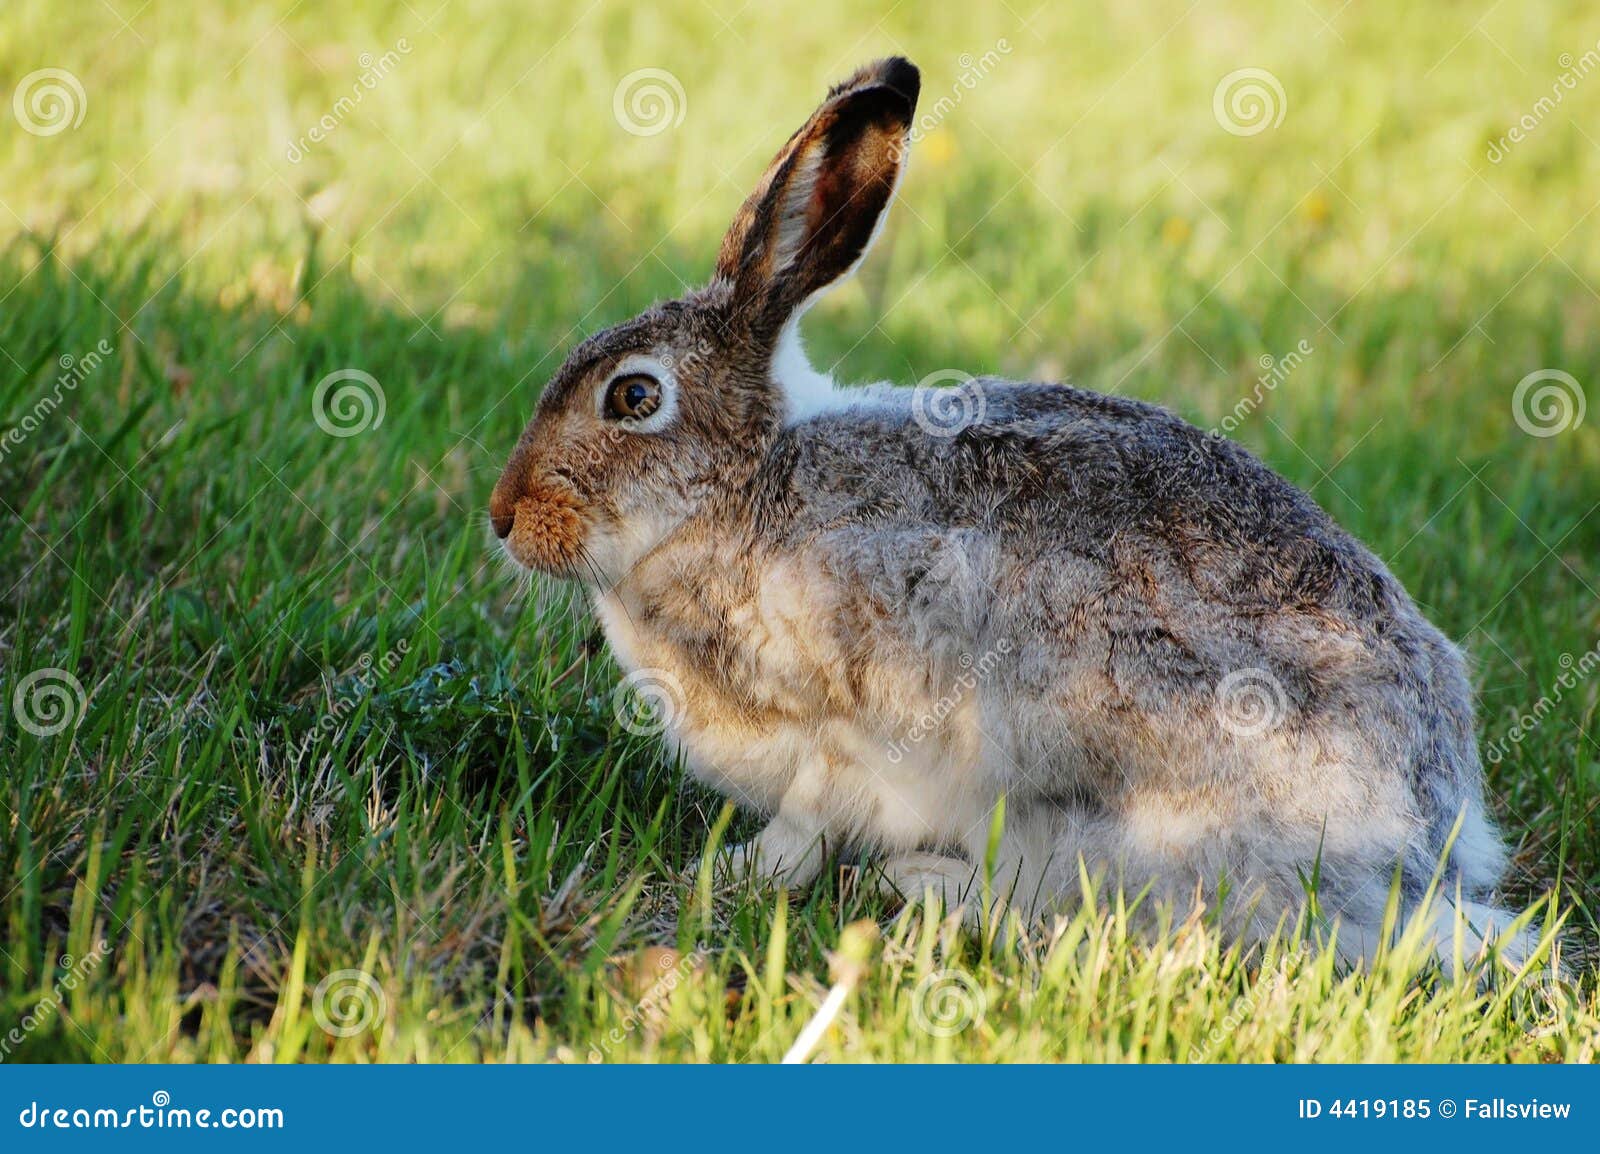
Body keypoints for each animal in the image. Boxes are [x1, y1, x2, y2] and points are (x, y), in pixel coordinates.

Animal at [490, 56, 1529, 967]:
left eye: (634, 398)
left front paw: (736, 875)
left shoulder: (853, 721)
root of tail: (1412, 854)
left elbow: (809, 818)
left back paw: (924, 885)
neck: (746, 482)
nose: (503, 516)